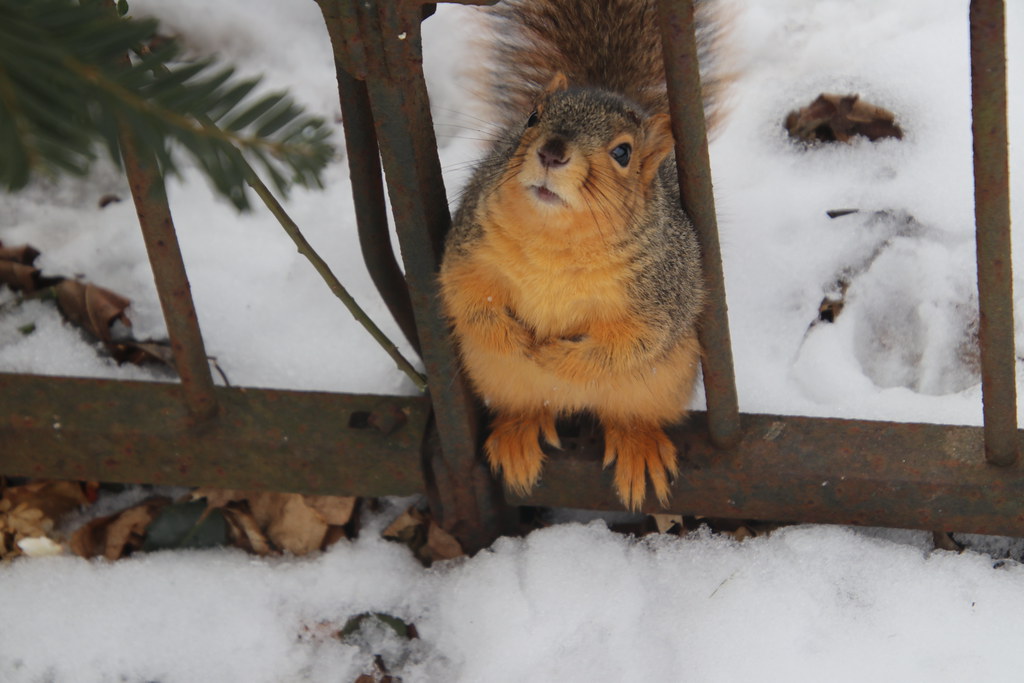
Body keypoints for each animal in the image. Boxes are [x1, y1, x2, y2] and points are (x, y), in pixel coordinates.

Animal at [439, 0, 726, 510]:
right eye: (532, 117)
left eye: (623, 152)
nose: (552, 151)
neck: (555, 239)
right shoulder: (468, 249)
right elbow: (466, 296)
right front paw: (514, 338)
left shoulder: (659, 292)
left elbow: (633, 341)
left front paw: (557, 358)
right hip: (496, 375)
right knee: (524, 406)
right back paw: (518, 434)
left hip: (656, 384)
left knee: (630, 415)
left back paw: (638, 444)